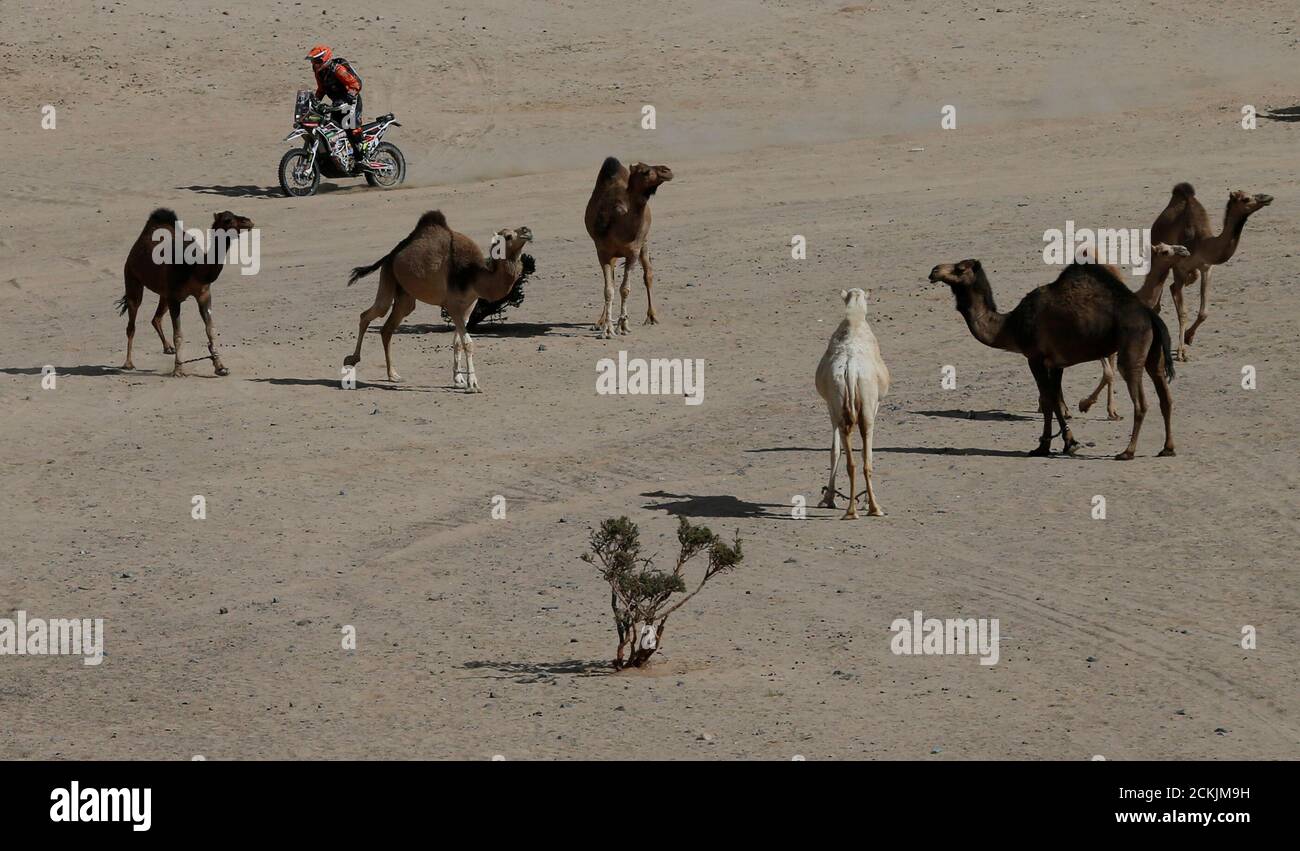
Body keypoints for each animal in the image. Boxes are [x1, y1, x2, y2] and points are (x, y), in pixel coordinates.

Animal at [116, 207, 254, 377]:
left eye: (236, 214)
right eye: (227, 220)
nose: (248, 221)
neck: (195, 269)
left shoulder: (203, 294)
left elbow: (211, 330)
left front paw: (220, 366)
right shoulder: (174, 298)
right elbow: (179, 335)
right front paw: (178, 370)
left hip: (163, 293)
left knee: (156, 318)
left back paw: (168, 348)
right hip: (132, 276)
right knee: (132, 321)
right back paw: (128, 363)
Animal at [344, 210, 532, 391]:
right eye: (508, 236)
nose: (527, 231)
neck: (473, 276)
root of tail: (391, 254)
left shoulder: (469, 305)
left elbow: (457, 342)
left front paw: (458, 380)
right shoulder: (453, 305)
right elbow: (467, 343)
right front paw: (472, 384)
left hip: (405, 295)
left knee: (387, 328)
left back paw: (393, 375)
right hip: (388, 275)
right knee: (371, 313)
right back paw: (351, 360)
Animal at [584, 157, 674, 338]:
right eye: (645, 171)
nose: (667, 170)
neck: (619, 221)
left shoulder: (633, 250)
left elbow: (625, 289)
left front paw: (622, 325)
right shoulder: (603, 252)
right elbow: (608, 289)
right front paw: (607, 329)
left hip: (644, 242)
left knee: (648, 274)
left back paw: (652, 317)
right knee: (612, 279)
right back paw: (600, 321)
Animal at [815, 288, 890, 518]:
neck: (855, 321)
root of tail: (852, 369)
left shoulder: (831, 406)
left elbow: (834, 450)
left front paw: (828, 499)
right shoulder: (876, 404)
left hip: (840, 405)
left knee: (851, 459)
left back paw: (851, 510)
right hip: (864, 406)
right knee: (865, 457)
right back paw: (872, 507)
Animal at [929, 259, 1176, 460]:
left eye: (960, 268)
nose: (934, 271)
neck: (1009, 325)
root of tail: (1150, 315)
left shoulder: (1035, 357)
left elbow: (1047, 400)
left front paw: (1043, 447)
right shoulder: (1057, 363)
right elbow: (1056, 400)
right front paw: (1068, 443)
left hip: (1132, 347)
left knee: (1140, 402)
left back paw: (1127, 452)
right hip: (1153, 354)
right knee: (1165, 396)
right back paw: (1167, 448)